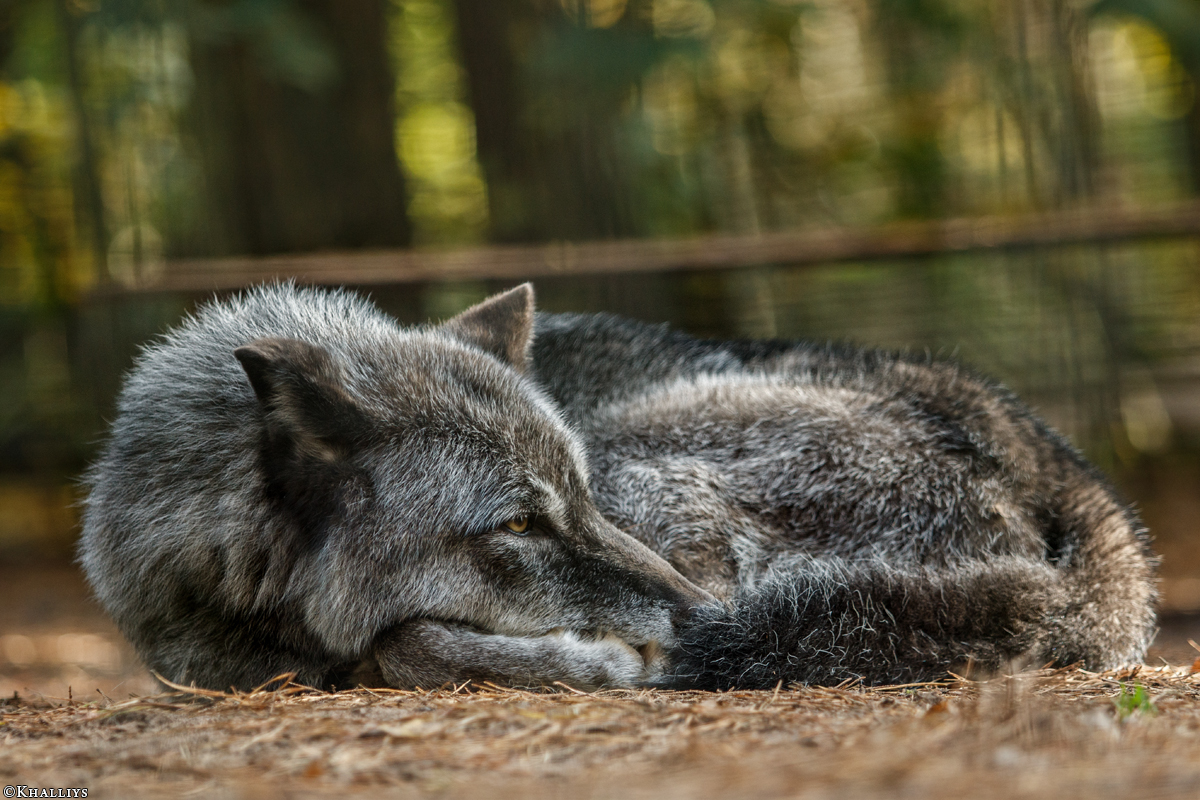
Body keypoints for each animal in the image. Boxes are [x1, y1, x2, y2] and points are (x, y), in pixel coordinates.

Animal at [79, 282, 1156, 692]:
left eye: (580, 494)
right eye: (518, 523)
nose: (695, 617)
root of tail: (1064, 477)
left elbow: (408, 645)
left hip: (655, 460)